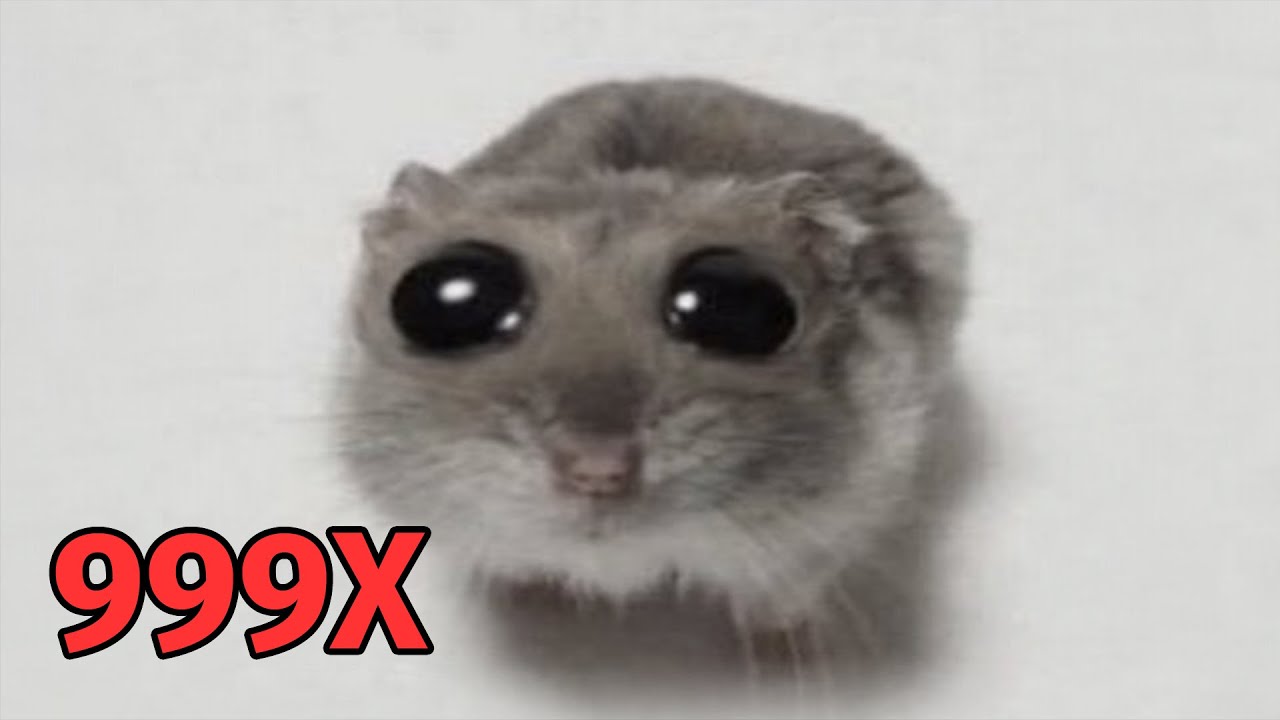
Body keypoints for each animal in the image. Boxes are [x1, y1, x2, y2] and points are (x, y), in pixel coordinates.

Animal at [337, 78, 967, 637]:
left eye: (740, 307)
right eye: (448, 301)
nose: (597, 470)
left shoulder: (842, 514)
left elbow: (784, 591)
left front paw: (790, 648)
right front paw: (534, 601)